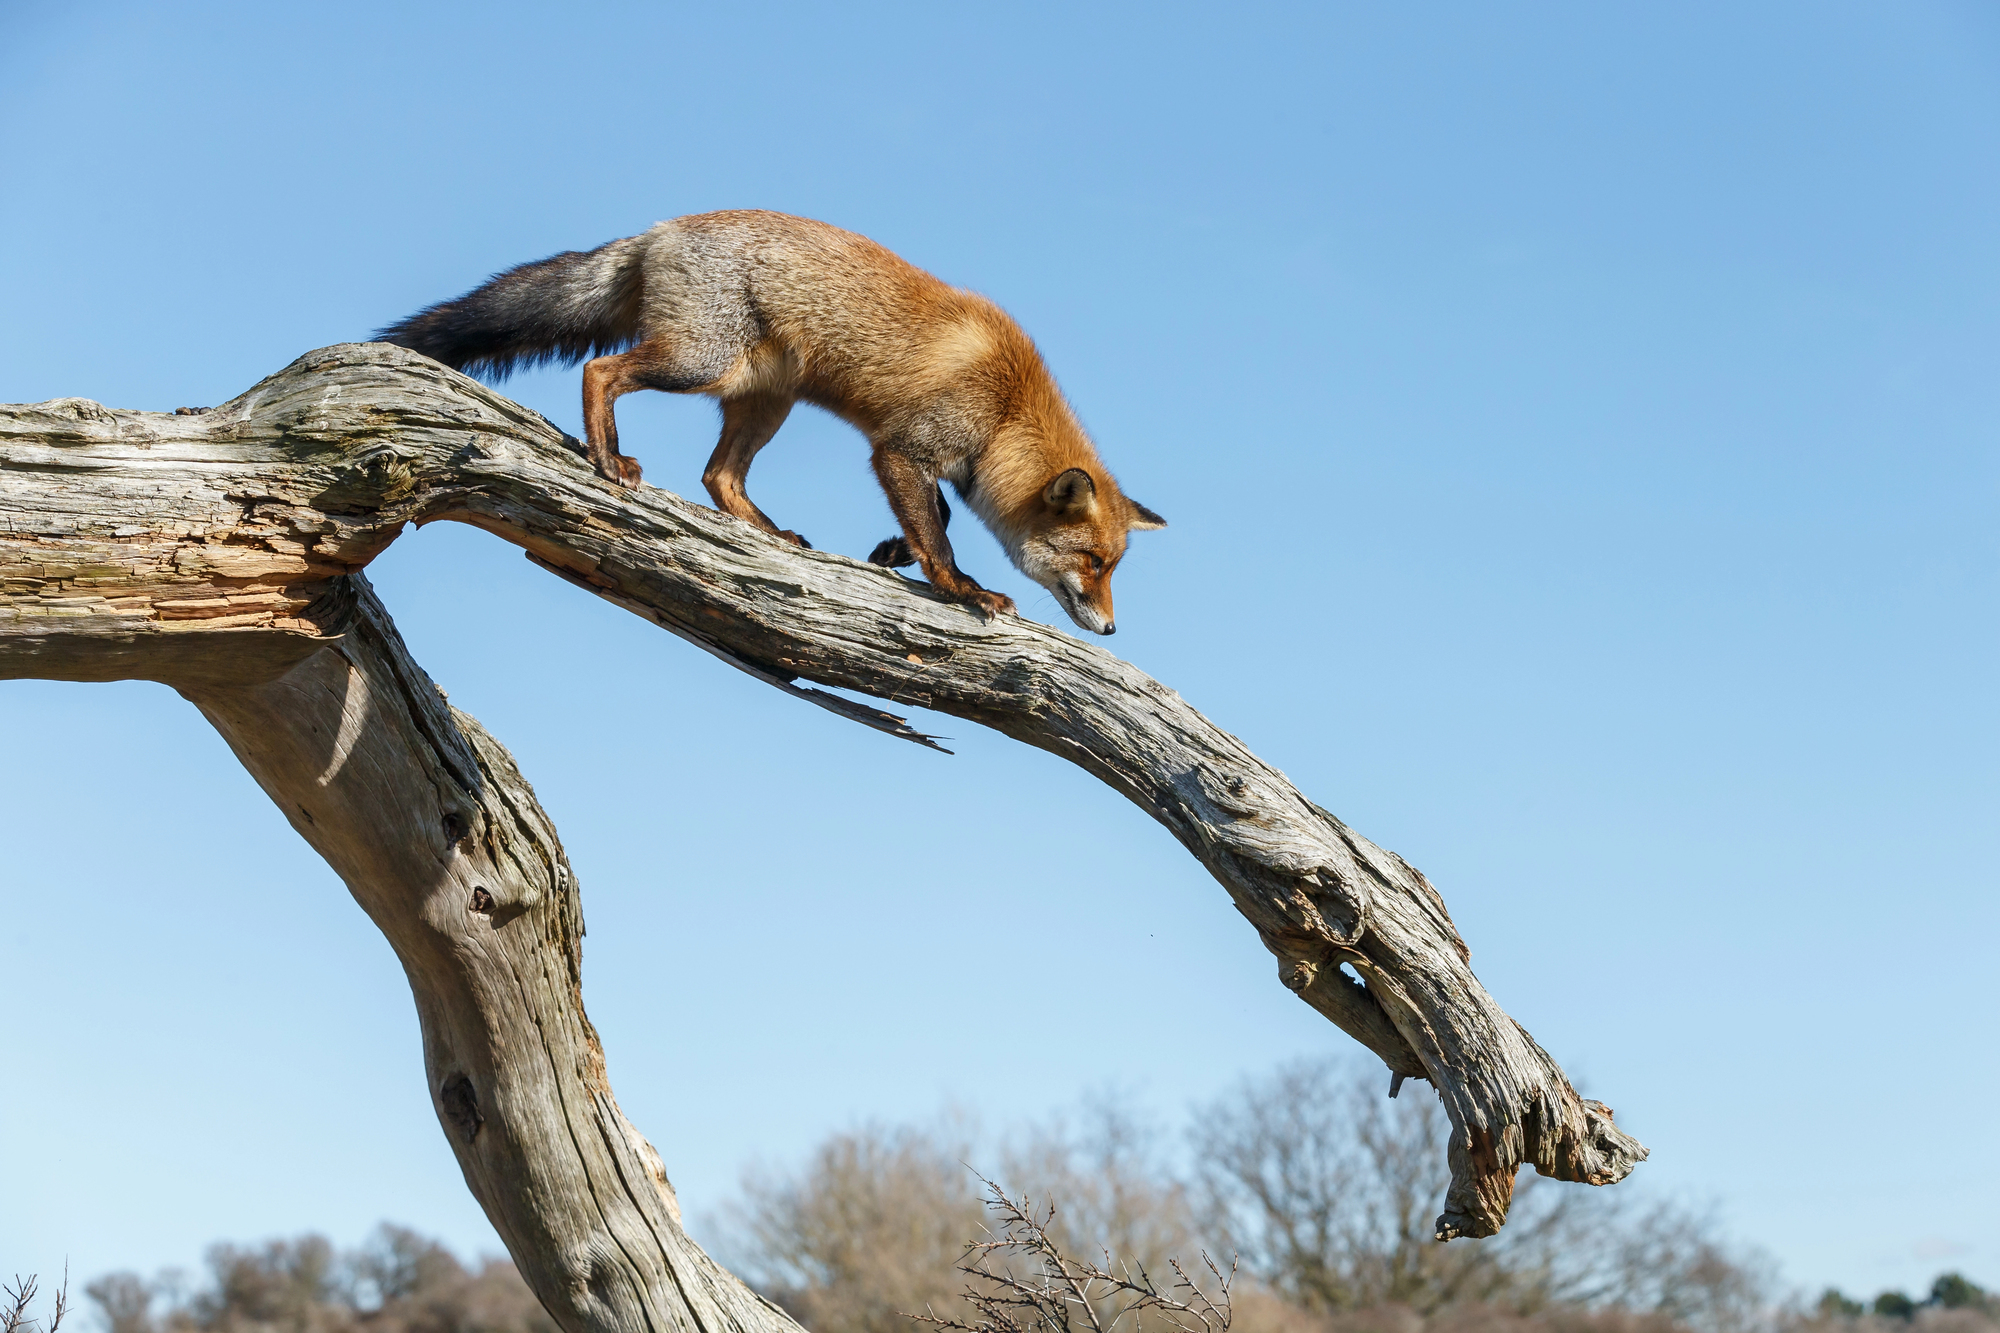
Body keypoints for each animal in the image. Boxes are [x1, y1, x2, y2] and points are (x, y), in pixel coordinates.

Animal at [376, 210, 1164, 634]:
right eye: (1094, 563)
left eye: (1113, 566)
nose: (1113, 626)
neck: (1004, 413)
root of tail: (658, 229)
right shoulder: (901, 449)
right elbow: (939, 534)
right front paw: (961, 587)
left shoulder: (917, 458)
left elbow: (932, 516)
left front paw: (890, 553)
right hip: (698, 362)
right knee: (601, 372)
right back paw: (608, 455)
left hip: (762, 400)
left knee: (718, 476)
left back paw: (769, 534)